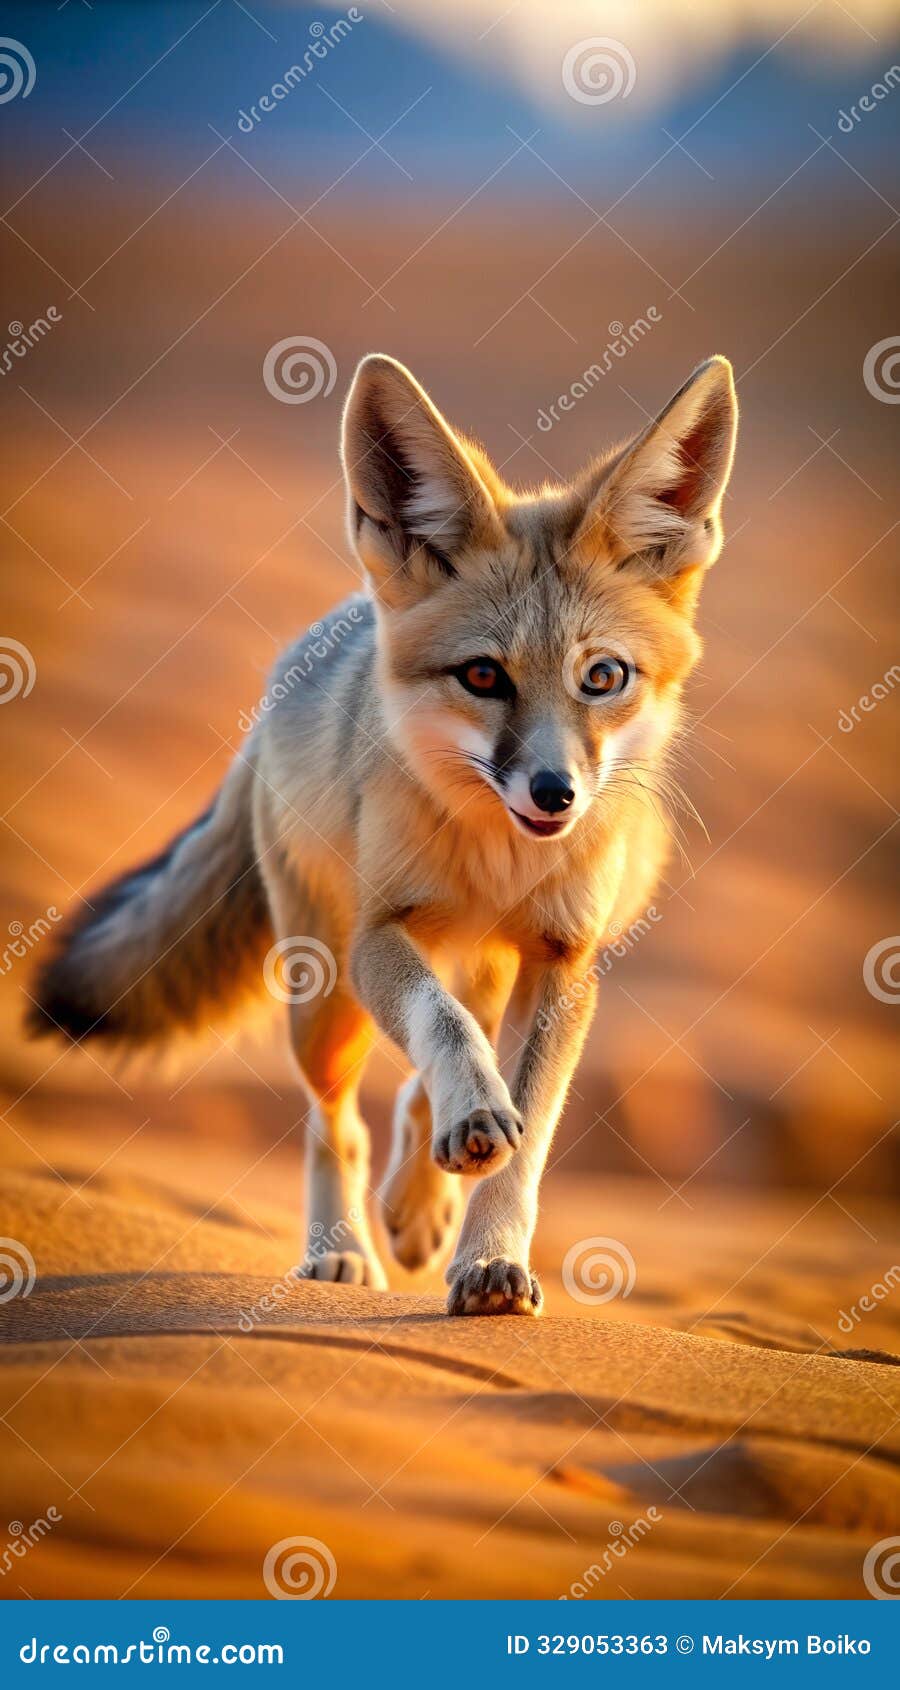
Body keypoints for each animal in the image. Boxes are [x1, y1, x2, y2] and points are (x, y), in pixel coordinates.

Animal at [28, 351, 737, 1316]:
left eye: (603, 678)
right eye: (483, 676)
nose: (555, 795)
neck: (495, 866)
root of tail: (313, 648)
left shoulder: (562, 961)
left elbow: (527, 1132)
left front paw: (489, 1256)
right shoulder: (378, 936)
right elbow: (442, 1034)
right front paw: (468, 1127)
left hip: (482, 967)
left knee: (428, 1081)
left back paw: (421, 1200)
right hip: (323, 997)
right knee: (339, 1122)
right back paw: (342, 1247)